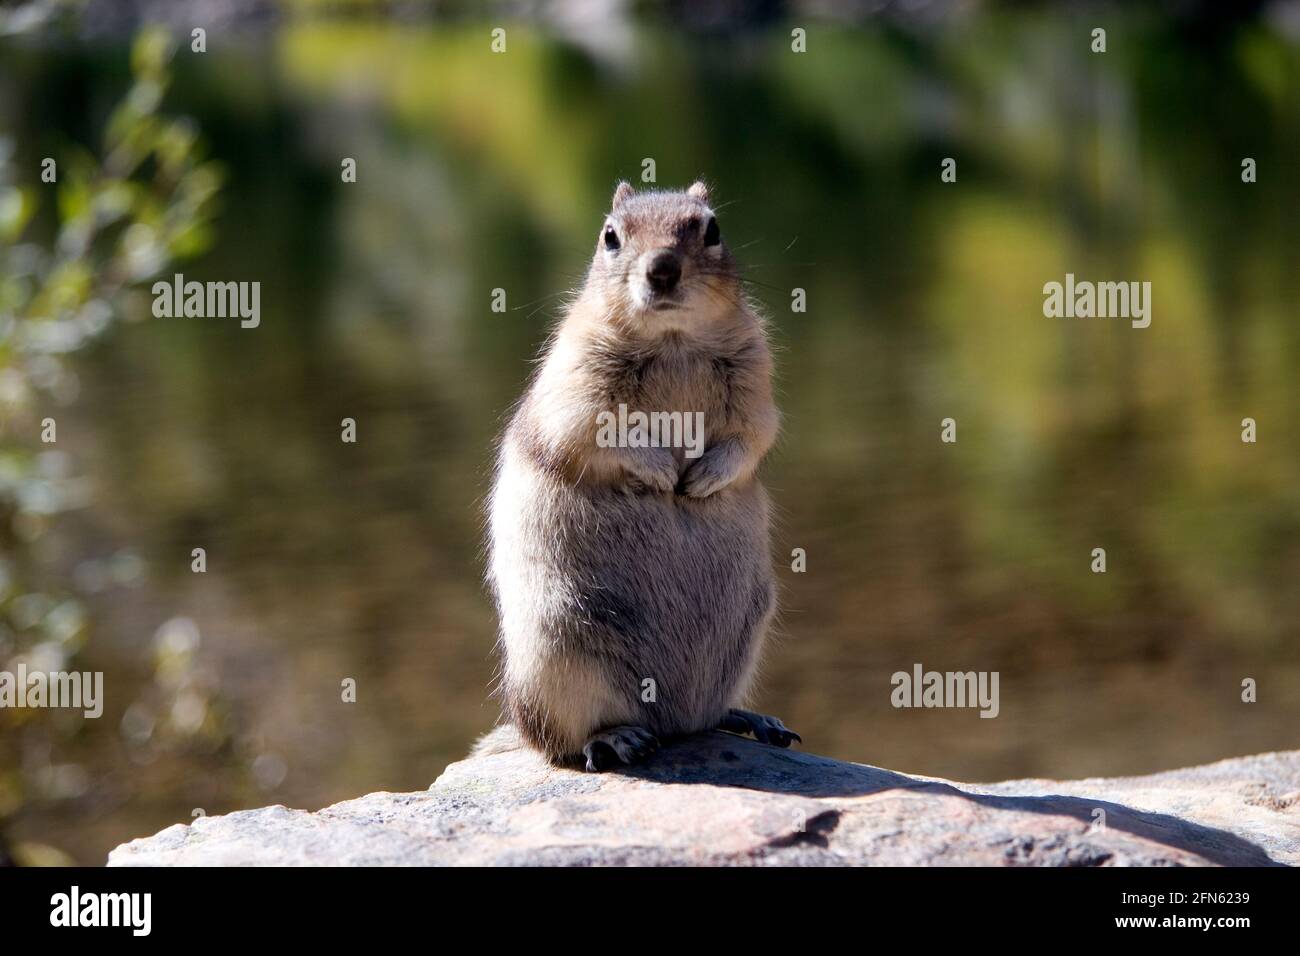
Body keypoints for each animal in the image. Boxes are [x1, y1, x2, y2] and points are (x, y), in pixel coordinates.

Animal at [484, 180, 798, 771]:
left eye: (712, 228)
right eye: (610, 236)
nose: (663, 268)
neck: (673, 340)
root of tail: (669, 722)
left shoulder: (756, 379)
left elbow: (752, 437)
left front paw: (703, 478)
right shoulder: (575, 383)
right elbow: (593, 432)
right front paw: (659, 471)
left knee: (706, 717)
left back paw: (748, 718)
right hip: (559, 654)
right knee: (559, 744)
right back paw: (615, 738)